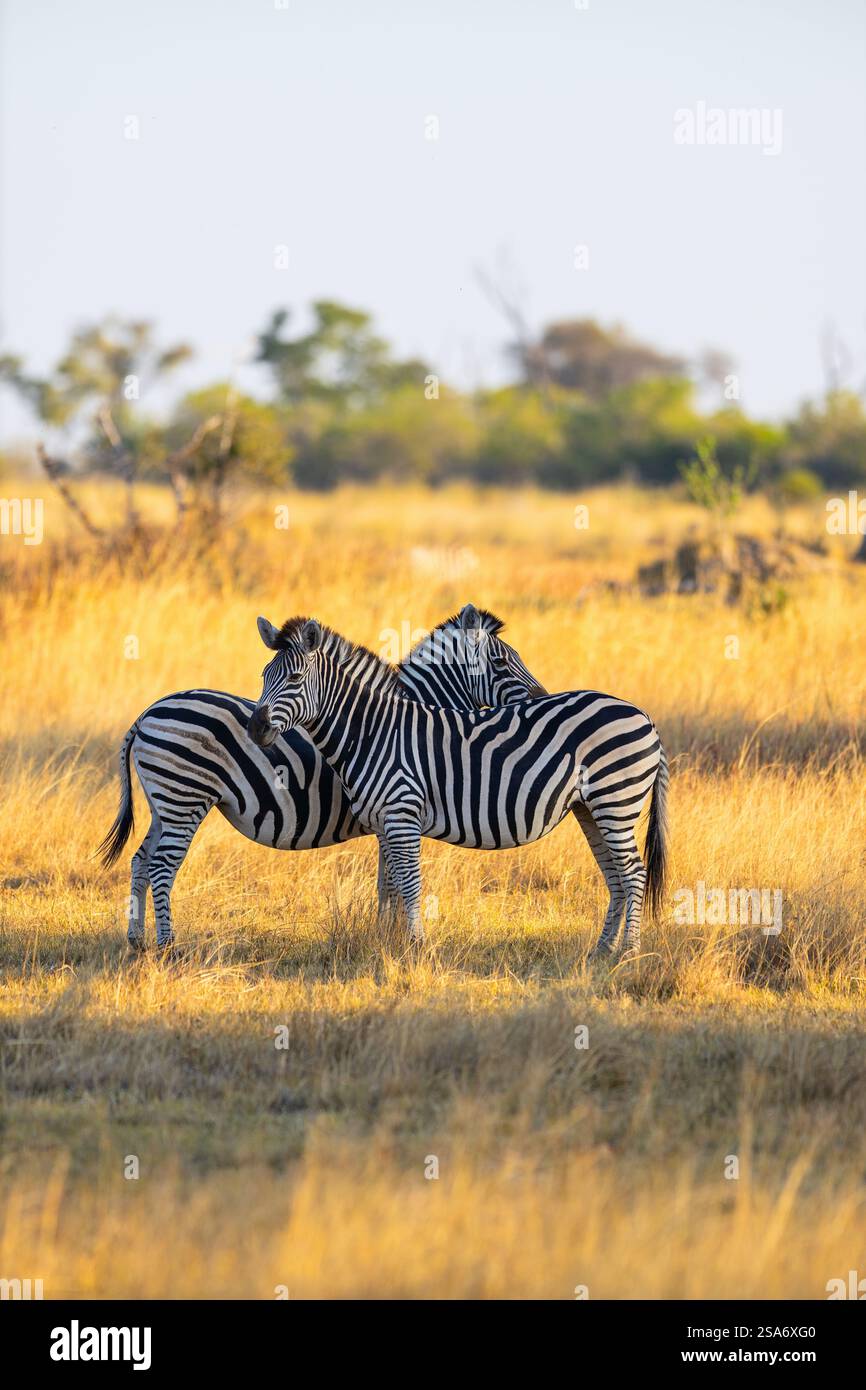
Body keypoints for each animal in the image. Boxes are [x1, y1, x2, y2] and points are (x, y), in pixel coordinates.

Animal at [98, 605, 544, 949]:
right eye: (502, 662)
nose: (542, 698)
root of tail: (147, 712)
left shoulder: (390, 814)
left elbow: (387, 881)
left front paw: (384, 934)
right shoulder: (397, 810)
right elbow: (394, 881)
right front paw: (393, 937)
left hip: (165, 803)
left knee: (140, 860)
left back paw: (137, 941)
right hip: (184, 799)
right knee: (162, 866)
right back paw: (168, 947)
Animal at [248, 616, 669, 959]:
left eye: (294, 679)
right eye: (264, 676)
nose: (255, 729)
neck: (372, 732)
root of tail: (644, 716)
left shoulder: (402, 815)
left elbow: (410, 884)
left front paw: (415, 947)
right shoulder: (384, 824)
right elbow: (389, 885)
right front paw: (388, 943)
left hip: (616, 802)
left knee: (633, 873)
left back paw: (628, 954)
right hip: (591, 810)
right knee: (615, 876)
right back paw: (602, 952)